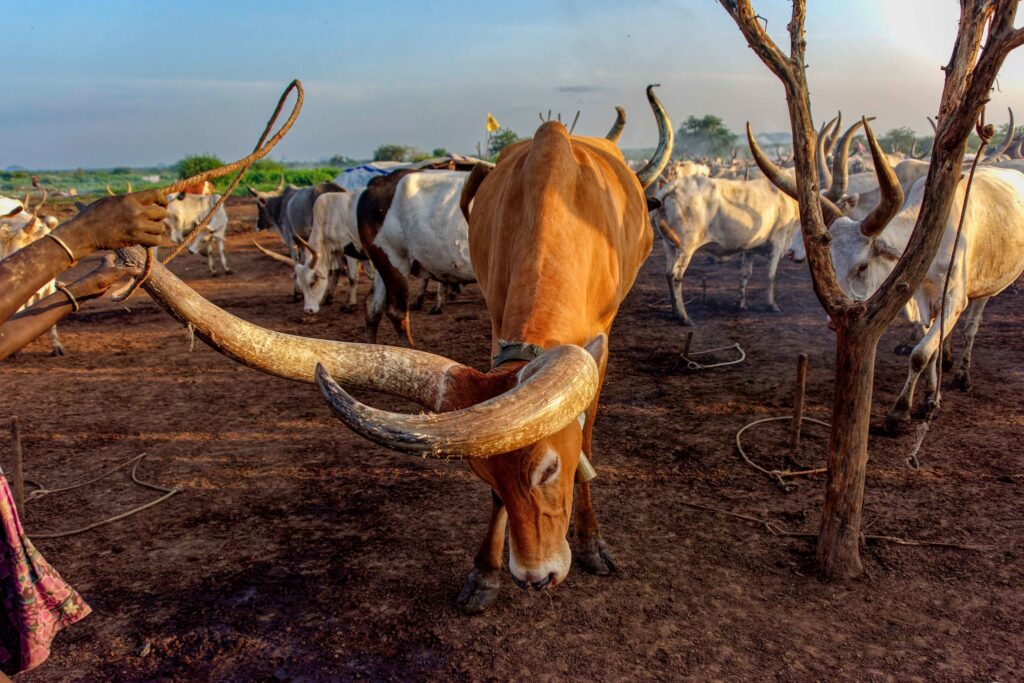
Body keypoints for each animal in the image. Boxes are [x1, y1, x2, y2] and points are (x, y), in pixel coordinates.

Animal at [121, 84, 673, 614]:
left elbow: (588, 437)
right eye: (486, 478)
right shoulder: (495, 321)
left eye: (550, 469)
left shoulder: (602, 340)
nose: (536, 577)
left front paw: (592, 542)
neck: (561, 210)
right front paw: (484, 574)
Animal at [653, 174, 800, 324]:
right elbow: (771, 276)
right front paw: (772, 305)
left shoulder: (750, 248)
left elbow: (745, 274)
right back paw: (684, 317)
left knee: (668, 273)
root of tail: (673, 186)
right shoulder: (778, 244)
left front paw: (741, 304)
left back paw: (674, 312)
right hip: (686, 248)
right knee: (675, 276)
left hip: (670, 247)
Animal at [755, 116, 1024, 431]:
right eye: (831, 263)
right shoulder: (919, 295)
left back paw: (963, 376)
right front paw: (929, 397)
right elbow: (929, 347)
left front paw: (900, 410)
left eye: (862, 266)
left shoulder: (954, 298)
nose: (833, 323)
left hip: (987, 286)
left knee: (971, 328)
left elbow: (920, 354)